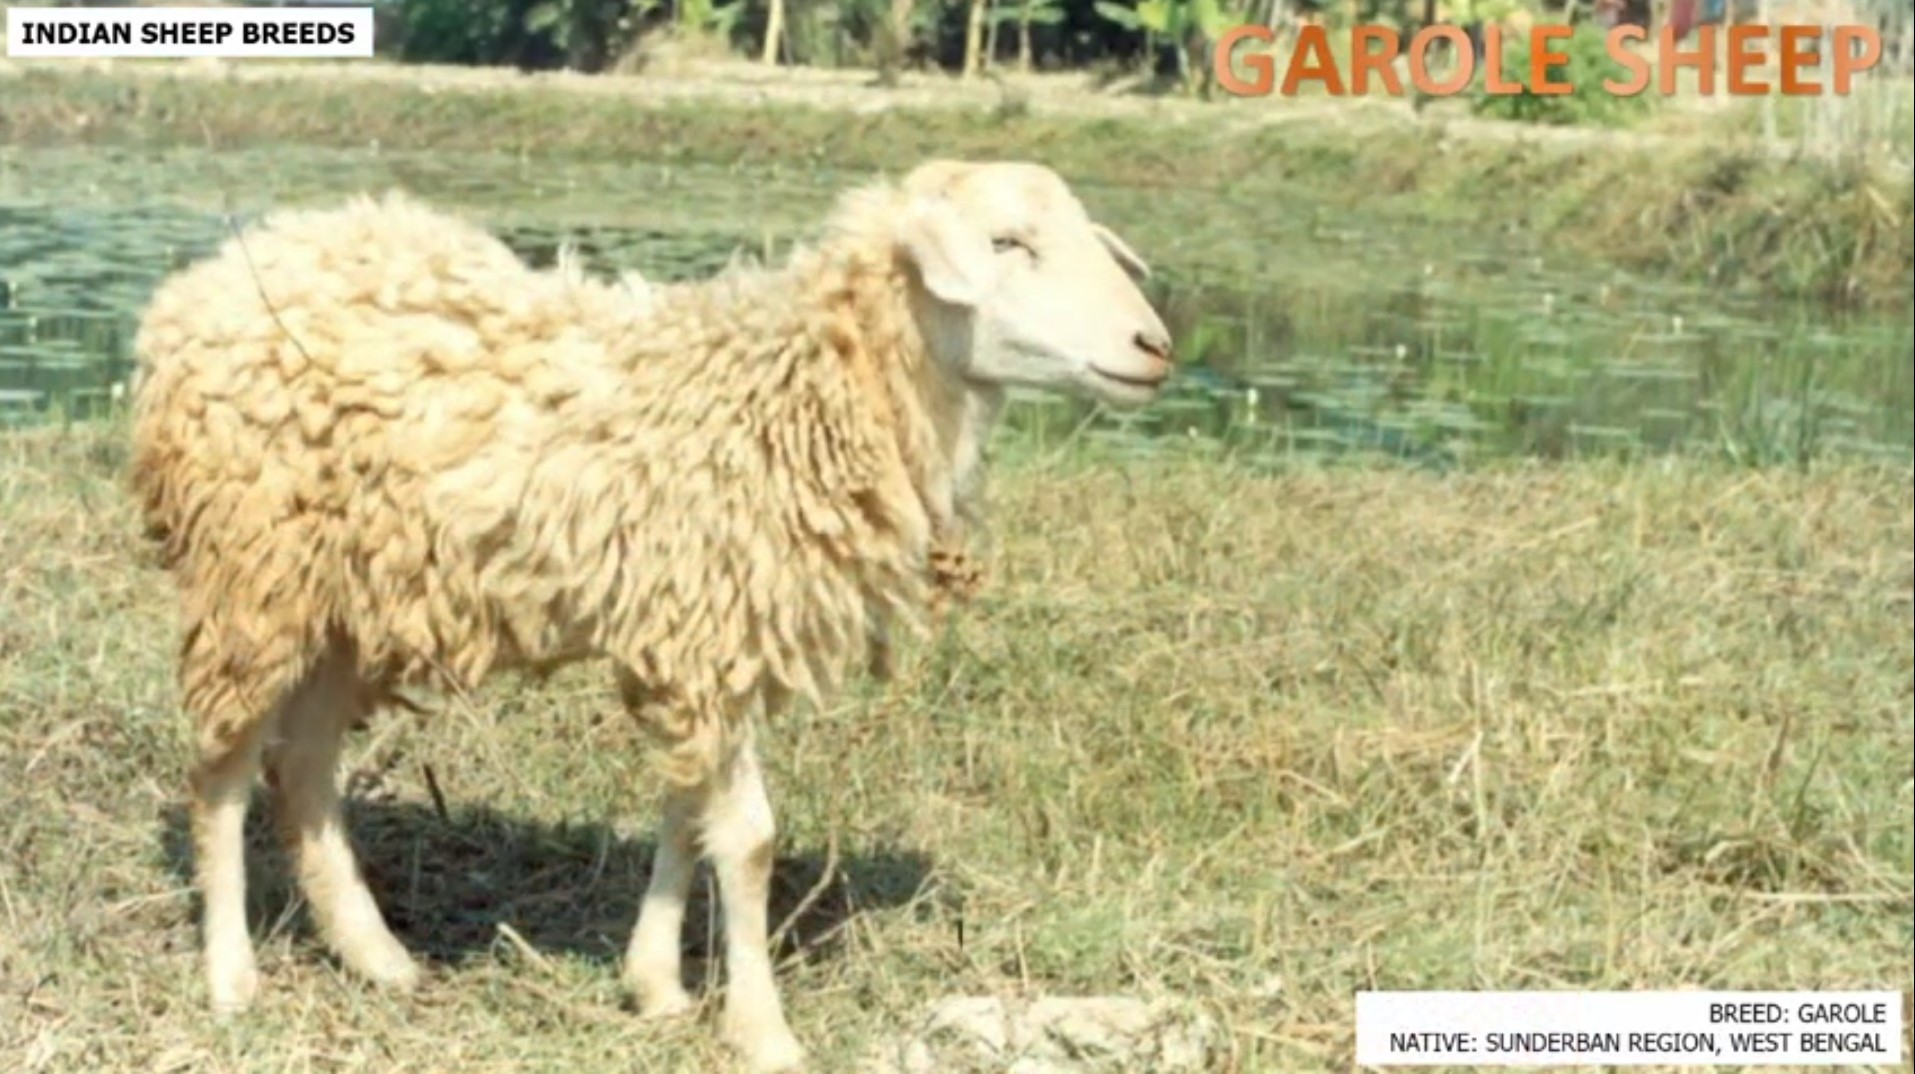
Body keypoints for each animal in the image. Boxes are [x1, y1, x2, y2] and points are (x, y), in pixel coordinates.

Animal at [128, 159, 1173, 1073]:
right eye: (1006, 241)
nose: (1153, 347)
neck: (802, 391)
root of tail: (203, 282)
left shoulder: (700, 636)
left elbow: (687, 814)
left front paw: (657, 987)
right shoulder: (707, 626)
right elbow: (747, 839)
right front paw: (762, 1032)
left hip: (342, 594)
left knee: (303, 765)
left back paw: (375, 956)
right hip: (251, 572)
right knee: (222, 773)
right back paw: (232, 978)